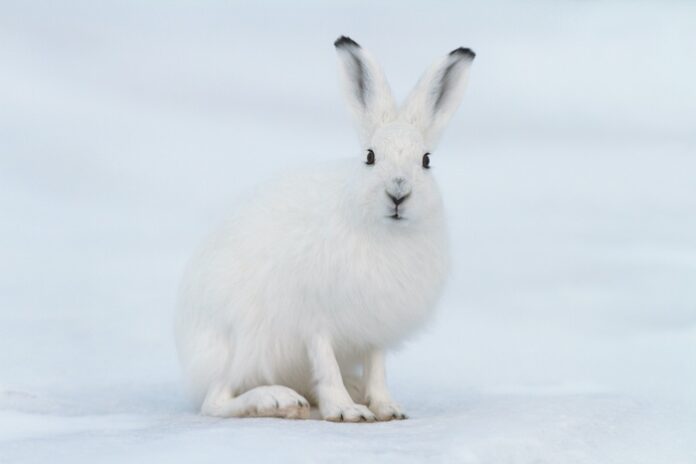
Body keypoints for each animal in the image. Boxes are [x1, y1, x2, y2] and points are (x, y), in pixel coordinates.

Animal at [175, 36, 475, 422]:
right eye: (370, 157)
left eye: (425, 161)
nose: (398, 193)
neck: (384, 234)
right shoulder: (315, 321)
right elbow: (326, 364)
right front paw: (346, 411)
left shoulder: (374, 326)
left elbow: (377, 367)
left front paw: (387, 408)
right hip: (240, 342)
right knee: (215, 401)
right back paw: (279, 401)